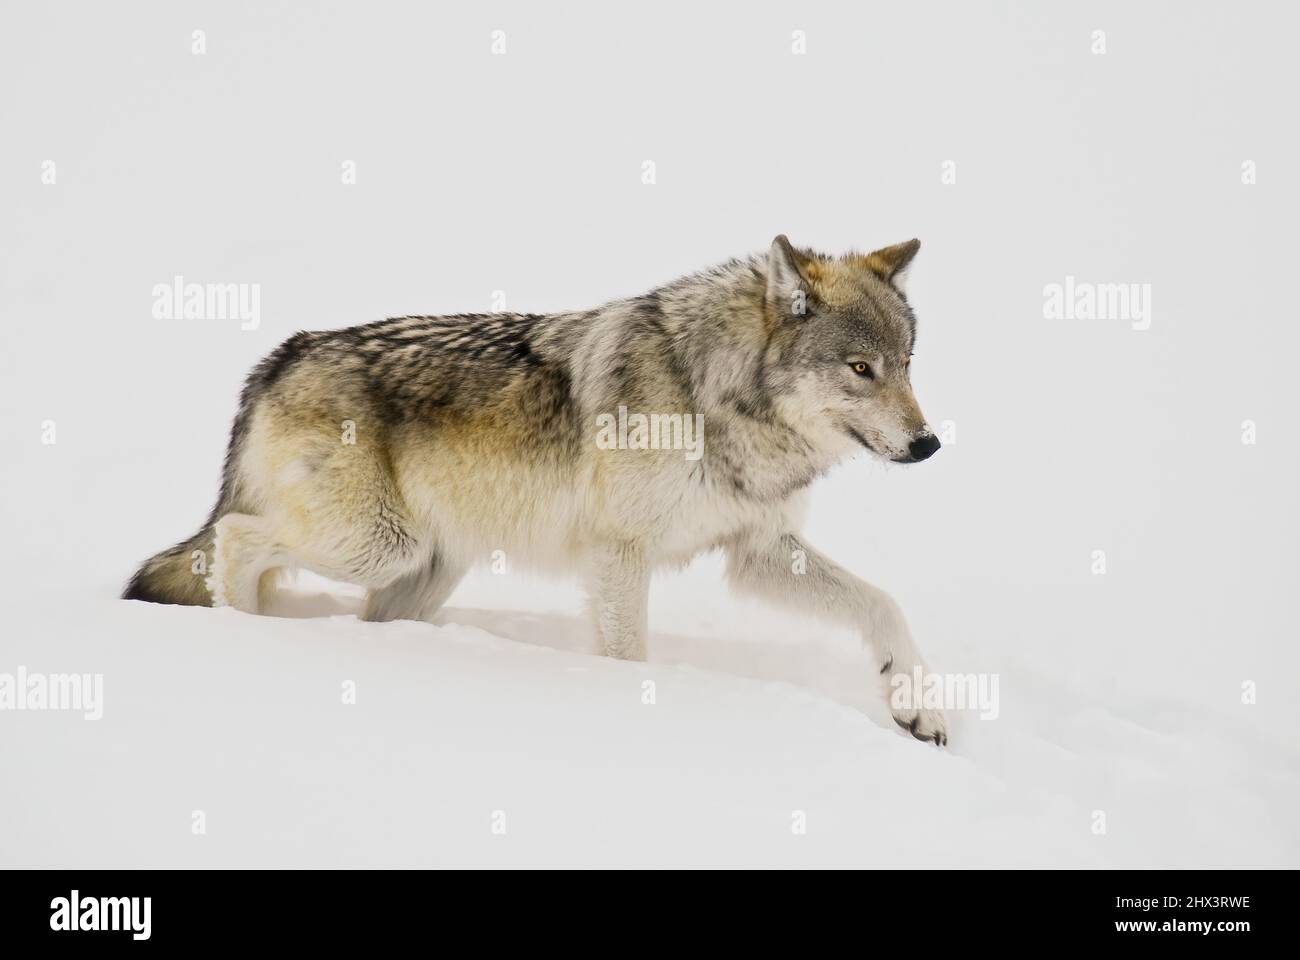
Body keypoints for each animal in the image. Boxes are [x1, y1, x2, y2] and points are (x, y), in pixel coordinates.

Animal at [124, 236, 948, 744]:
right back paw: (247, 636)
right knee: (233, 539)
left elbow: (883, 604)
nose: (928, 444)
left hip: (420, 569)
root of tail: (280, 356)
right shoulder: (620, 555)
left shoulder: (759, 550)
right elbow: (630, 658)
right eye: (860, 369)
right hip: (379, 546)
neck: (714, 396)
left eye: (907, 363)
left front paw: (916, 705)